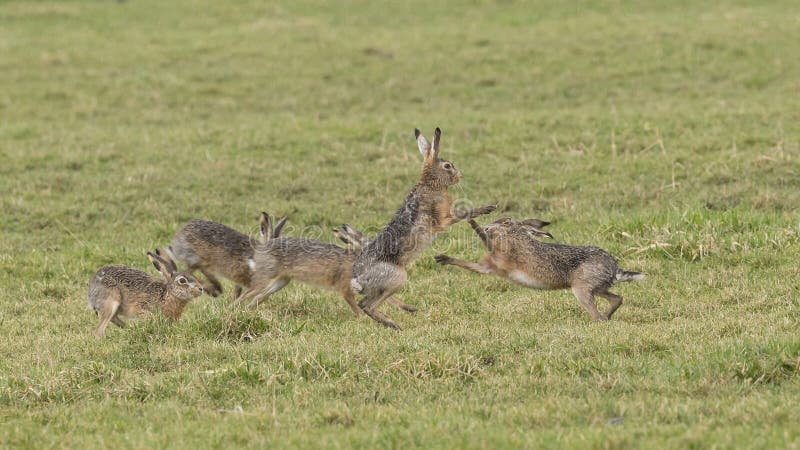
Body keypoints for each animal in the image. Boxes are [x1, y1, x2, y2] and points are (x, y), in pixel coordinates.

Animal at [233, 214, 418, 315]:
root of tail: (262, 248)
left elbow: (392, 299)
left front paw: (409, 308)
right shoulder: (345, 289)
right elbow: (358, 309)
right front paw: (363, 320)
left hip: (281, 282)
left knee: (259, 297)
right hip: (266, 278)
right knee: (247, 295)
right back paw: (233, 310)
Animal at [350, 127, 496, 330]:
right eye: (448, 166)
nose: (459, 176)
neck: (431, 183)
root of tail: (357, 279)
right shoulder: (444, 218)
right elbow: (463, 212)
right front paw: (486, 209)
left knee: (365, 303)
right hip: (397, 278)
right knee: (367, 305)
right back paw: (394, 325)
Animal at [435, 217, 645, 321]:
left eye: (506, 222)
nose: (489, 227)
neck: (516, 236)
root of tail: (615, 268)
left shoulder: (500, 256)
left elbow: (485, 241)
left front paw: (473, 223)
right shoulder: (489, 266)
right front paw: (441, 258)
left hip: (582, 290)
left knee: (597, 312)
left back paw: (601, 320)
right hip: (597, 288)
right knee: (617, 298)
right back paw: (608, 317)